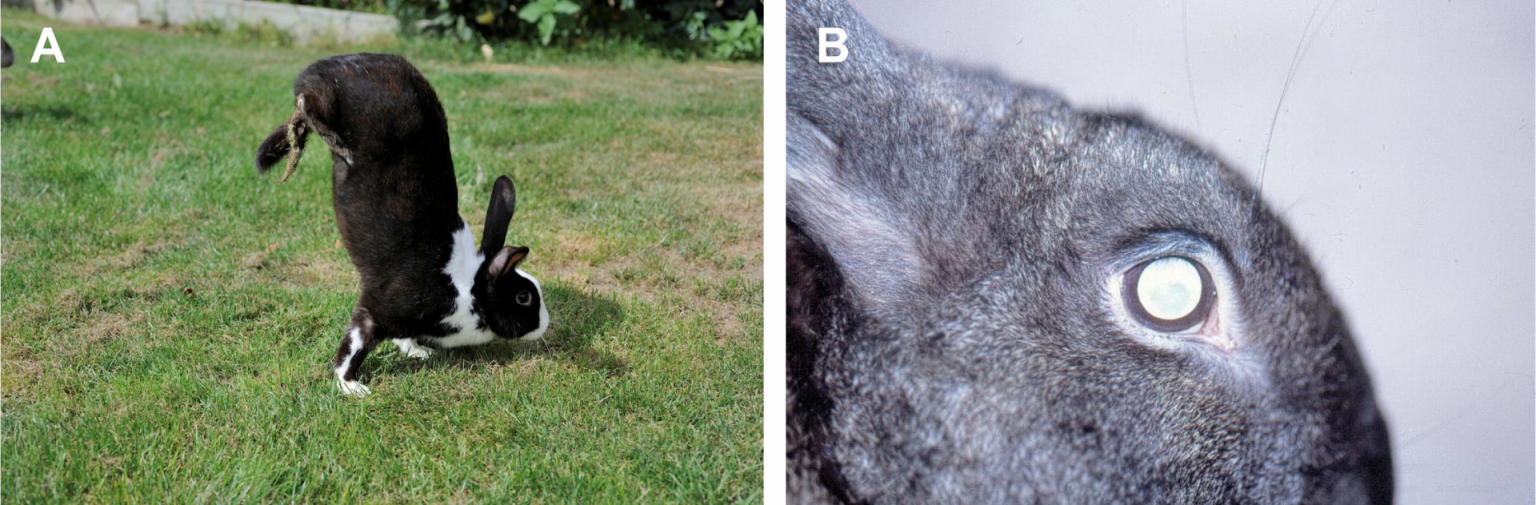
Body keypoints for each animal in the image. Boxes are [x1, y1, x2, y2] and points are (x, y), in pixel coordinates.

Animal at [254, 53, 549, 397]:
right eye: (523, 297)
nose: (544, 324)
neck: (468, 288)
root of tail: (330, 64)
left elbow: (402, 337)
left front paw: (418, 352)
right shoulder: (376, 311)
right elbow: (354, 346)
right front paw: (351, 387)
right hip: (331, 100)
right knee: (309, 104)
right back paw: (332, 143)